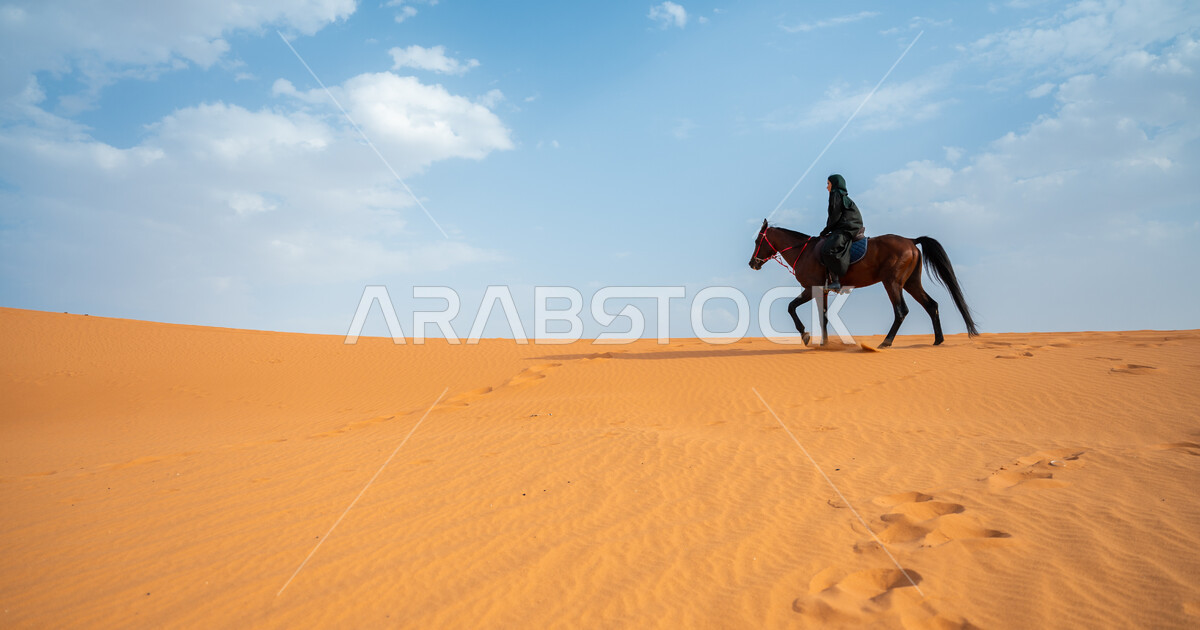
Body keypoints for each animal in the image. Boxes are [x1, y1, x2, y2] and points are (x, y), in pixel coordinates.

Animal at [748, 219, 978, 348]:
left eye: (758, 241)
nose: (752, 263)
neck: (803, 251)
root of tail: (911, 241)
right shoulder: (822, 291)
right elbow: (823, 317)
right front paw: (823, 343)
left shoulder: (812, 289)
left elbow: (791, 307)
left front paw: (805, 336)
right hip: (911, 283)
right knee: (931, 305)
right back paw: (938, 340)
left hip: (892, 282)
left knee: (901, 311)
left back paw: (886, 342)